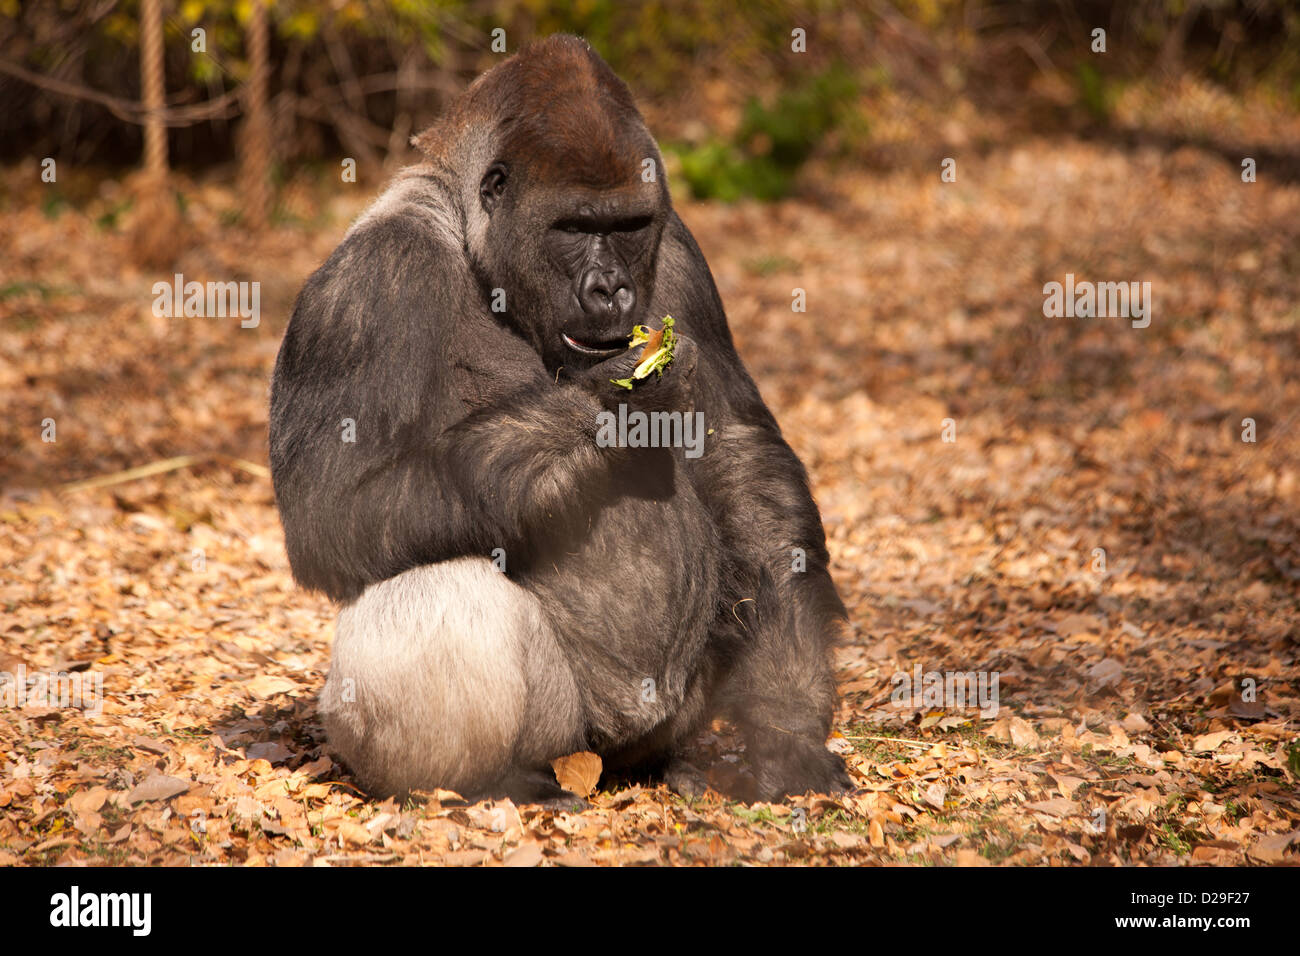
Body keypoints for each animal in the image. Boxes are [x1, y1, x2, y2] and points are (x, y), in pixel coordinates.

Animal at [269, 34, 851, 805]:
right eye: (574, 228)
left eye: (627, 228)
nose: (612, 290)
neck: (477, 250)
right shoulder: (364, 286)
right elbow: (333, 504)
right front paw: (611, 409)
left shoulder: (679, 250)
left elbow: (740, 455)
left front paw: (787, 714)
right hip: (570, 735)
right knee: (443, 598)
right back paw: (484, 786)